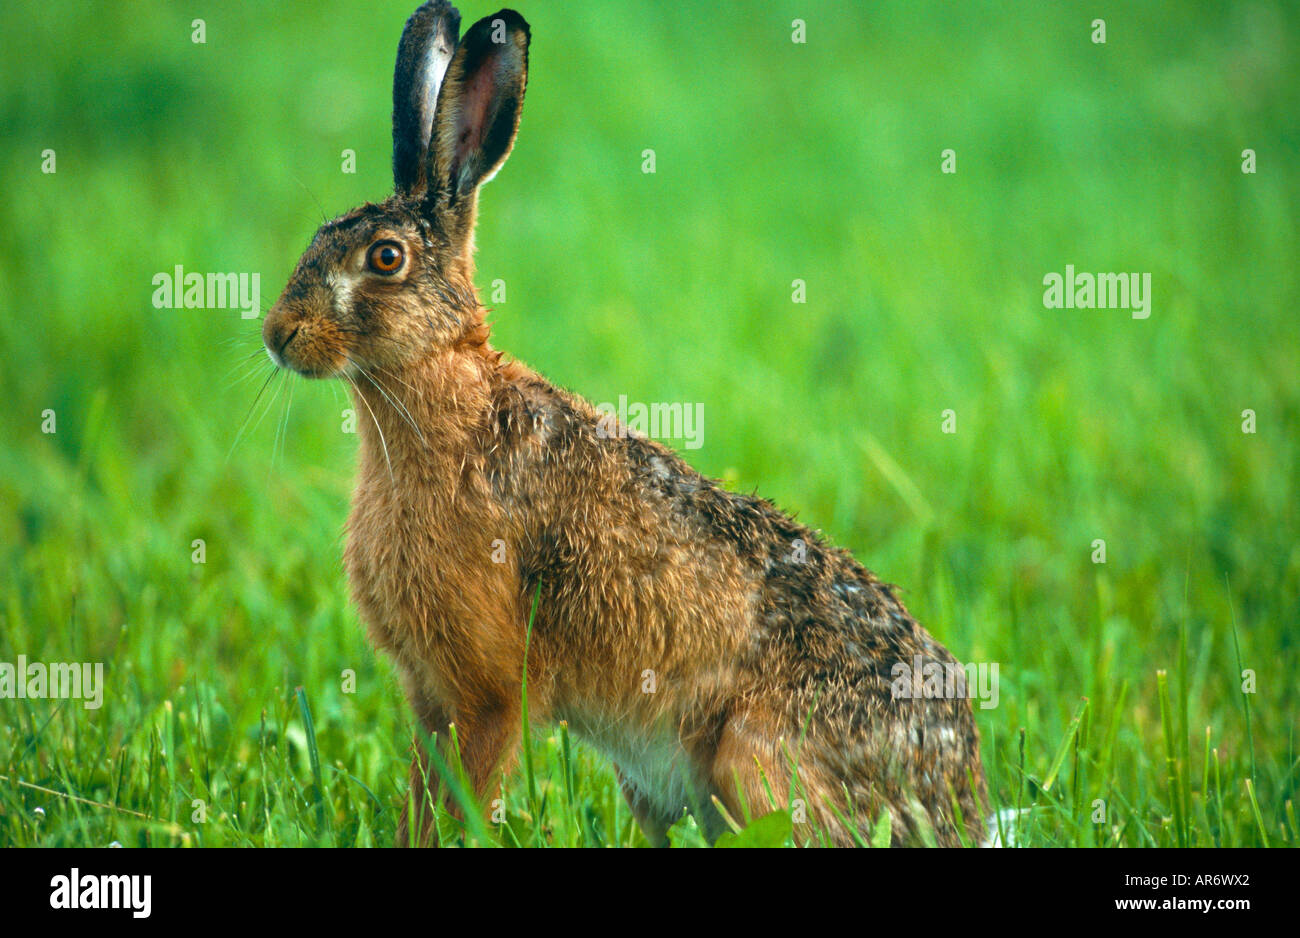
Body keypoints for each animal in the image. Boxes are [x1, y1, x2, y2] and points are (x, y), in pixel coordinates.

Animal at [262, 0, 988, 847]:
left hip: (757, 761)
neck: (443, 390)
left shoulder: (487, 689)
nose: (278, 335)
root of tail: (959, 801)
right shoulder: (432, 696)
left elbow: (466, 789)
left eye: (384, 258)